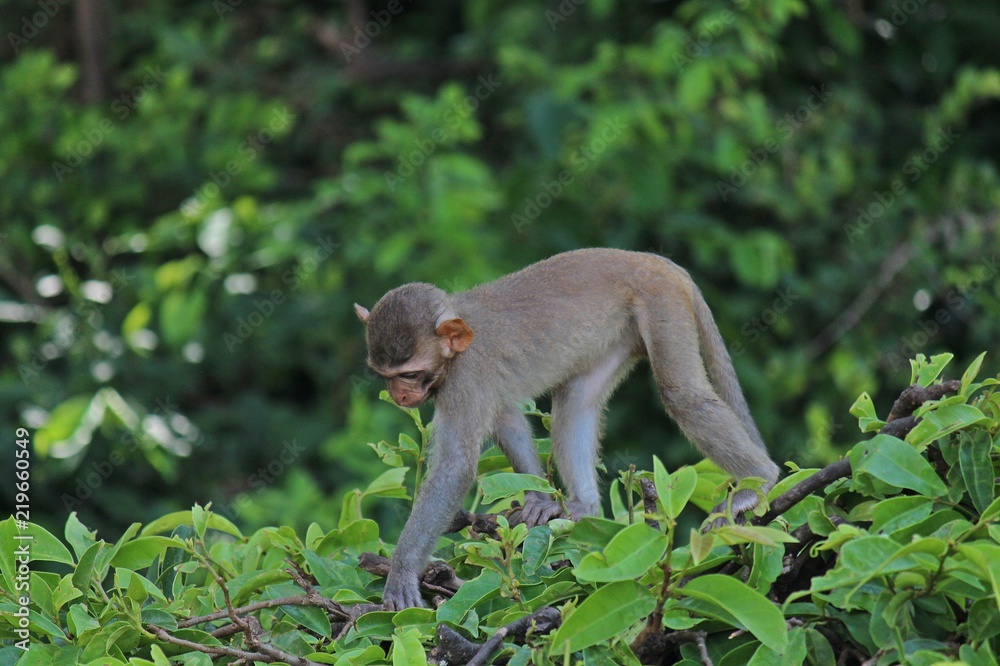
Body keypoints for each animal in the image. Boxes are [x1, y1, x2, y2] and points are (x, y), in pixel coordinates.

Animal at [354, 248, 780, 610]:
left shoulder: (467, 375)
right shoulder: (481, 384)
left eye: (409, 374)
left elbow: (456, 465)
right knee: (576, 399)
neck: (454, 351)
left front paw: (401, 572)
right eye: (385, 374)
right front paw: (539, 498)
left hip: (661, 302)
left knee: (683, 395)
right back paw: (583, 506)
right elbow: (506, 417)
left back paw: (757, 480)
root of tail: (654, 261)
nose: (399, 395)